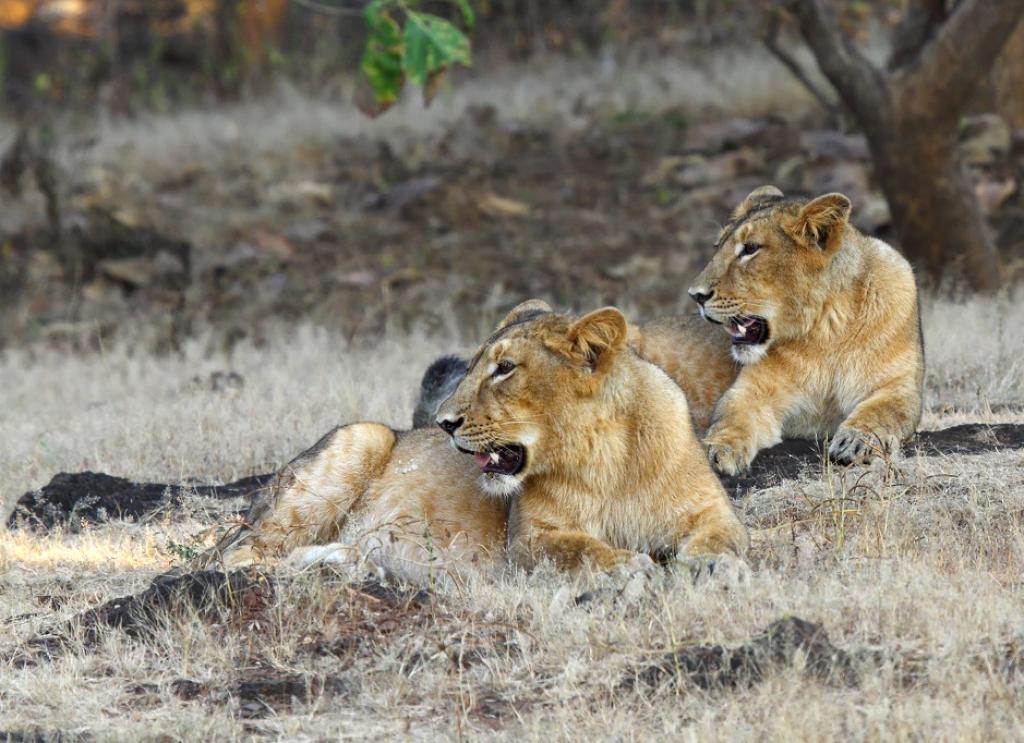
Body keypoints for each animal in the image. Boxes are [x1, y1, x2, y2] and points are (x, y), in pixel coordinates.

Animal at [198, 301, 747, 579]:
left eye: (504, 369)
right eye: (476, 363)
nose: (443, 422)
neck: (605, 457)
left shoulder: (710, 511)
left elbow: (725, 538)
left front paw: (716, 566)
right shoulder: (528, 540)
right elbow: (581, 549)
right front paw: (628, 565)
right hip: (362, 436)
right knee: (240, 554)